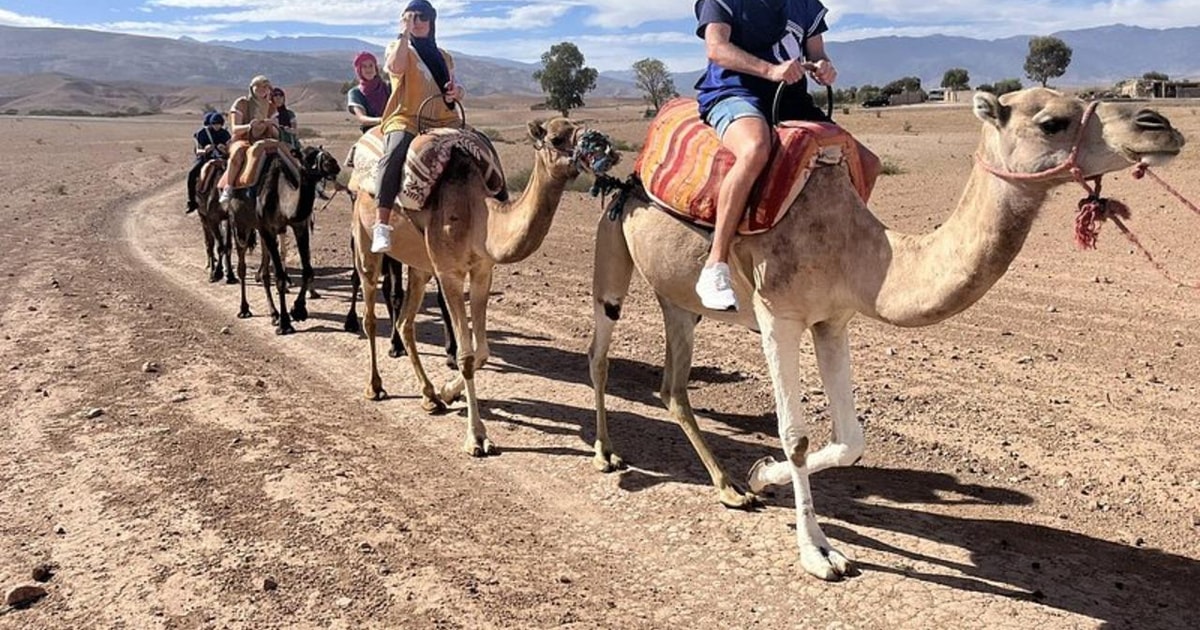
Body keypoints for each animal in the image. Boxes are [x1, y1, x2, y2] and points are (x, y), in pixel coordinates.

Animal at [228, 145, 341, 334]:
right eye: (306, 157)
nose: (333, 164)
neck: (281, 199)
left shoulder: (298, 226)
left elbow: (308, 271)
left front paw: (298, 310)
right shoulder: (268, 228)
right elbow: (280, 278)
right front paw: (285, 323)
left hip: (261, 231)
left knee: (264, 272)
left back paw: (273, 314)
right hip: (241, 224)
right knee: (242, 266)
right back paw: (244, 309)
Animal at [353, 118, 617, 456]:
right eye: (557, 138)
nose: (605, 148)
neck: (478, 215)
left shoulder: (482, 272)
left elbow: (483, 352)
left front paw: (448, 392)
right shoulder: (450, 273)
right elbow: (465, 357)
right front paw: (476, 437)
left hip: (420, 266)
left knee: (405, 323)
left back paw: (429, 396)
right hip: (365, 242)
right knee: (371, 315)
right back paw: (375, 386)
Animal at [587, 88, 1185, 580]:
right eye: (1053, 121)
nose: (1159, 125)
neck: (858, 247)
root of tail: (630, 172)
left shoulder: (832, 319)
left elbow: (851, 440)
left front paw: (759, 476)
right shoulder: (778, 314)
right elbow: (796, 435)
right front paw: (818, 552)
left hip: (678, 302)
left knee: (672, 386)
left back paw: (730, 489)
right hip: (613, 243)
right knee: (600, 352)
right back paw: (606, 456)